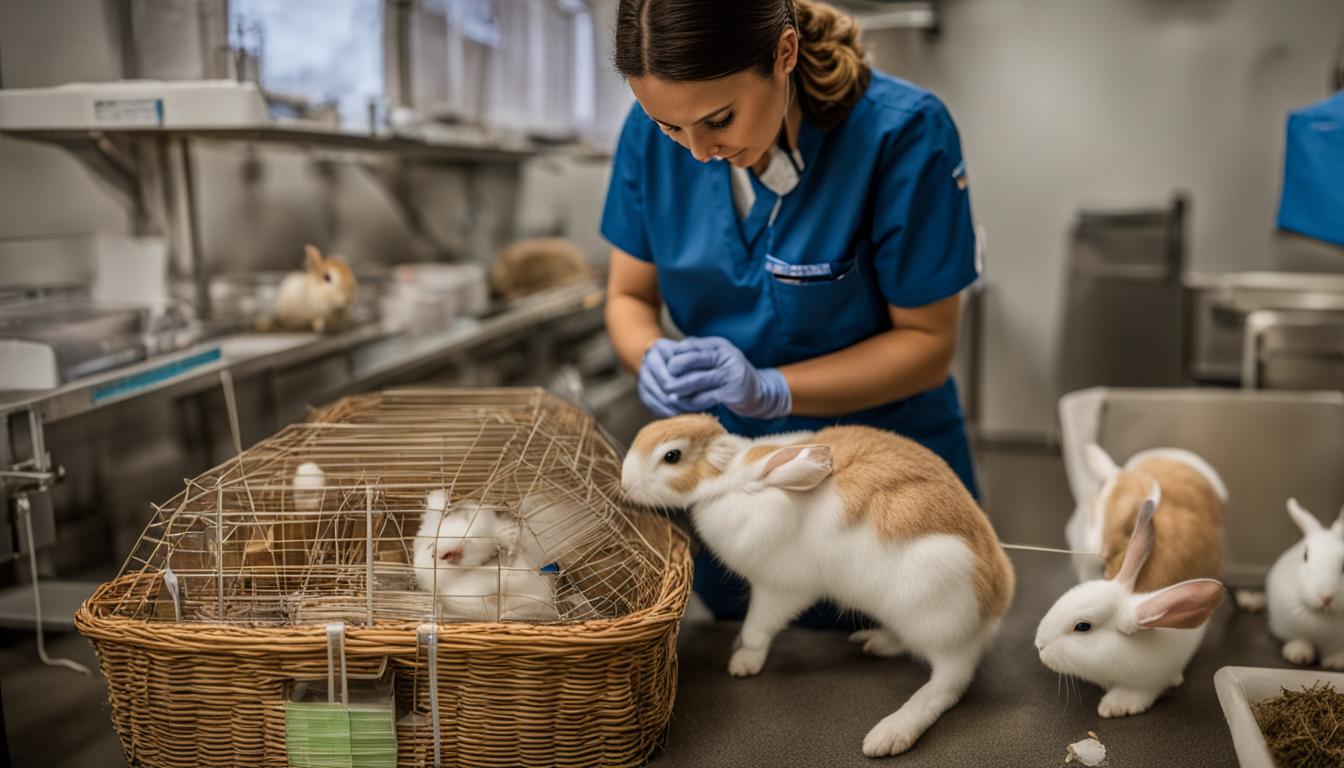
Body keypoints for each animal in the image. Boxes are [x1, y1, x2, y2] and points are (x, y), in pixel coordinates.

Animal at [620, 414, 1015, 757]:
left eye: (671, 456)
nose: (624, 485)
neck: (730, 479)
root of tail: (993, 610)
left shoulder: (778, 589)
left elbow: (757, 629)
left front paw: (743, 663)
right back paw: (874, 641)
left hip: (934, 613)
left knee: (948, 685)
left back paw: (889, 735)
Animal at [1266, 498, 1344, 669]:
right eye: (1305, 556)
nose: (1326, 597)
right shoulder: (1290, 626)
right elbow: (1300, 639)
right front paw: (1298, 655)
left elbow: (1337, 651)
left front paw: (1336, 663)